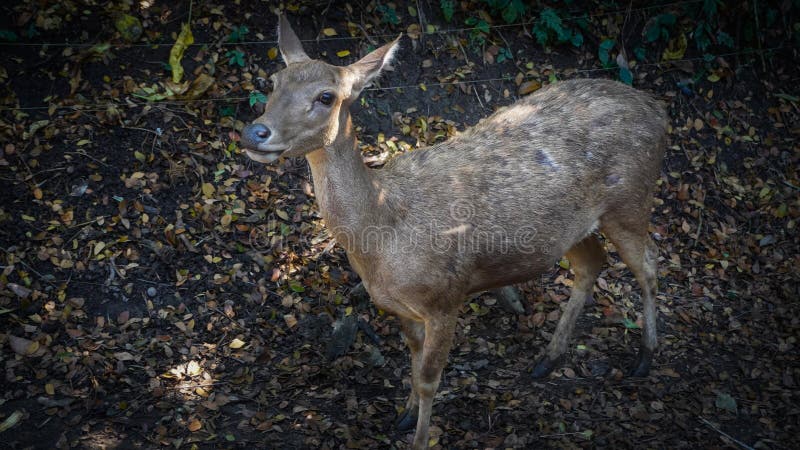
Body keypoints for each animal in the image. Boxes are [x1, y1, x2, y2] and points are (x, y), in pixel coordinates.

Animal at [240, 15, 668, 449]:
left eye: (326, 96)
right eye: (274, 81)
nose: (256, 132)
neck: (382, 237)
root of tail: (657, 109)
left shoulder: (446, 297)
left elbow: (430, 380)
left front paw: (419, 437)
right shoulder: (402, 307)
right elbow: (413, 363)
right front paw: (404, 415)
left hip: (631, 199)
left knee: (649, 263)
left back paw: (645, 356)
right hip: (574, 229)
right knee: (592, 262)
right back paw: (547, 359)